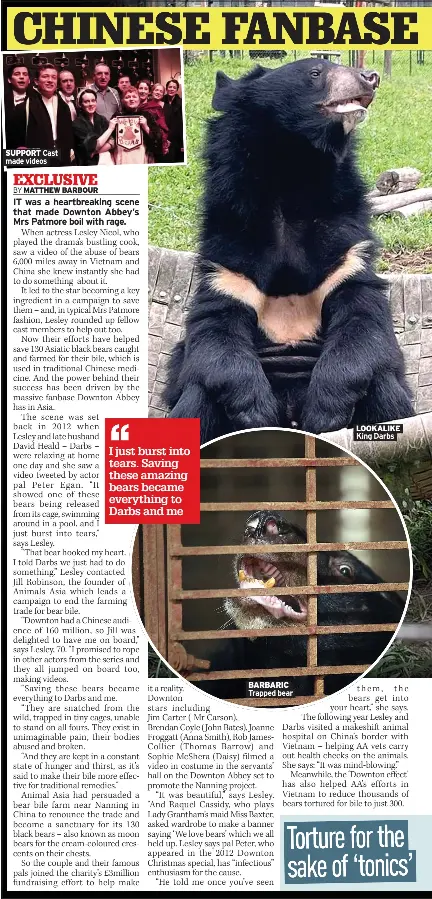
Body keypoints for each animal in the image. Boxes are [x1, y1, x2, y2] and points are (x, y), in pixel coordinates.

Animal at [164, 58, 414, 440]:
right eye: (315, 72)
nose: (370, 77)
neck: (293, 175)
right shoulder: (229, 265)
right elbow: (212, 338)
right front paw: (257, 414)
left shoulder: (347, 254)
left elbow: (365, 325)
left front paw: (325, 413)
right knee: (196, 398)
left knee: (387, 393)